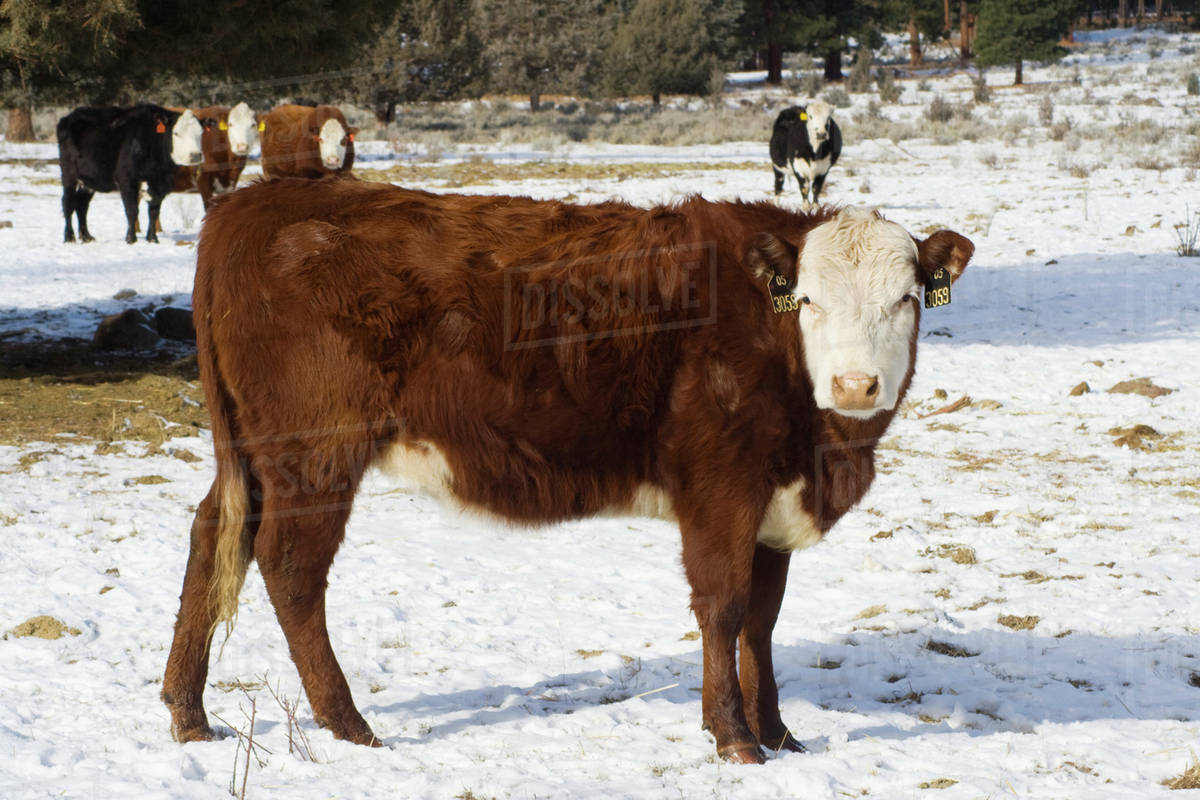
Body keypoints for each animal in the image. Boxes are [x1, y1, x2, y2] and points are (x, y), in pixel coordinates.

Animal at [57, 104, 204, 244]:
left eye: (200, 133)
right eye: (176, 133)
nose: (196, 155)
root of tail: (68, 118)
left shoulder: (161, 183)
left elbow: (154, 211)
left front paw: (152, 239)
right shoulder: (127, 180)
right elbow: (132, 210)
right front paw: (131, 239)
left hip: (88, 181)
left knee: (82, 205)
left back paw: (86, 236)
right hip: (69, 176)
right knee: (68, 204)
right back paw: (69, 237)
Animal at [161, 177, 973, 764]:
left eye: (907, 298)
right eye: (808, 299)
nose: (856, 386)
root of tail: (253, 202)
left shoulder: (773, 503)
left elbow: (763, 621)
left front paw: (777, 730)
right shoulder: (721, 488)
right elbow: (725, 608)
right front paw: (736, 738)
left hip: (257, 454)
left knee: (213, 535)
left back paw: (189, 714)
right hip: (316, 450)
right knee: (291, 567)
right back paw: (347, 722)